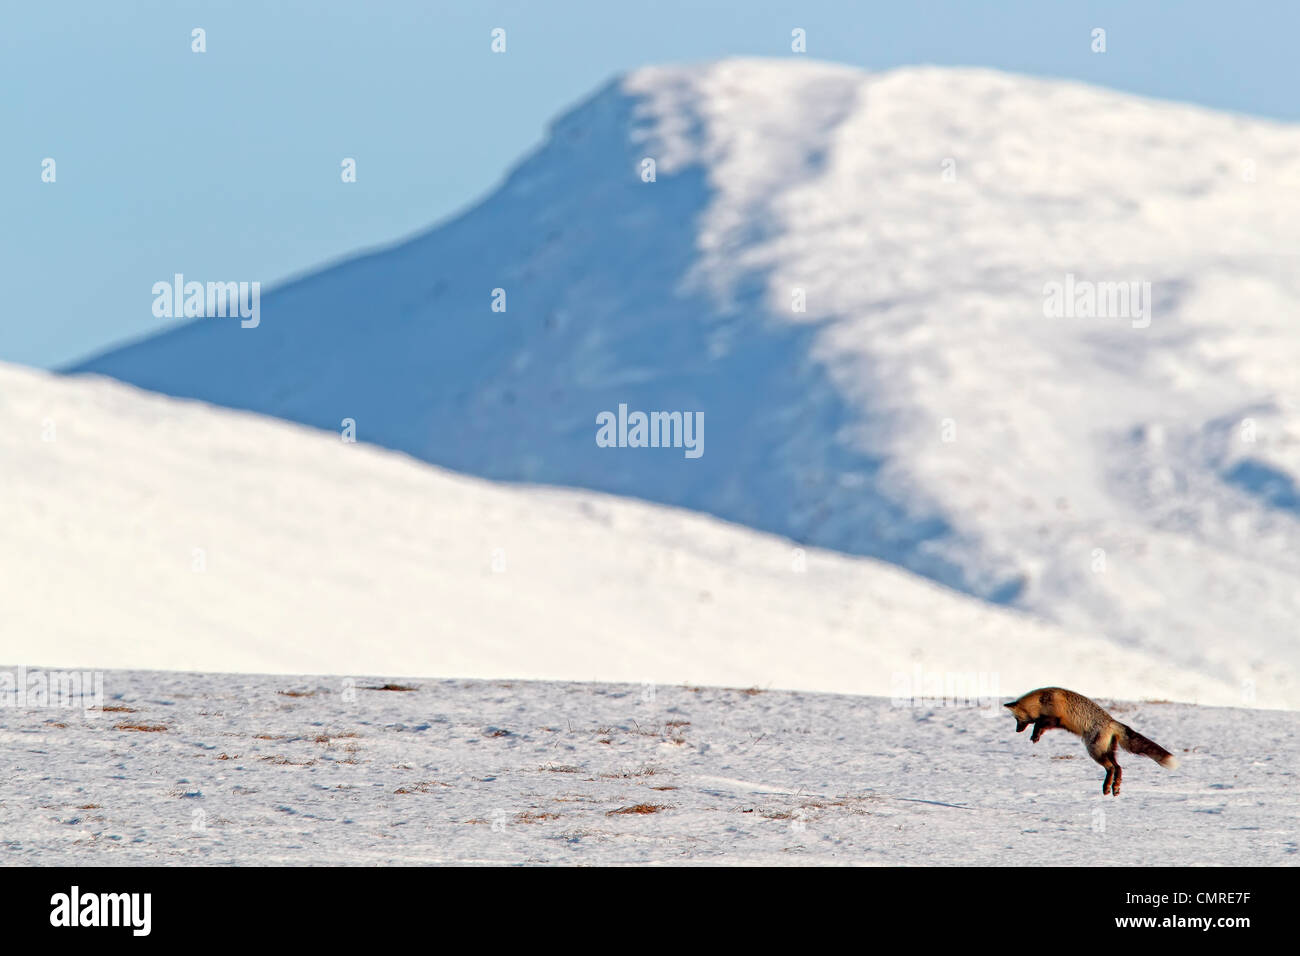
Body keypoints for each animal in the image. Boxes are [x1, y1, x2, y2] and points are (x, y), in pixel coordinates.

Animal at [1004, 687, 1178, 796]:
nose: (1017, 731)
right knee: (1118, 767)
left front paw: (1035, 736)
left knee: (1111, 767)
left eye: (1016, 720)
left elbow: (1040, 724)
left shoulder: (1054, 718)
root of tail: (1111, 721)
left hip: (1094, 751)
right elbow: (1040, 724)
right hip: (1107, 751)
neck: (1042, 700)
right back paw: (1114, 787)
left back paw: (1107, 787)